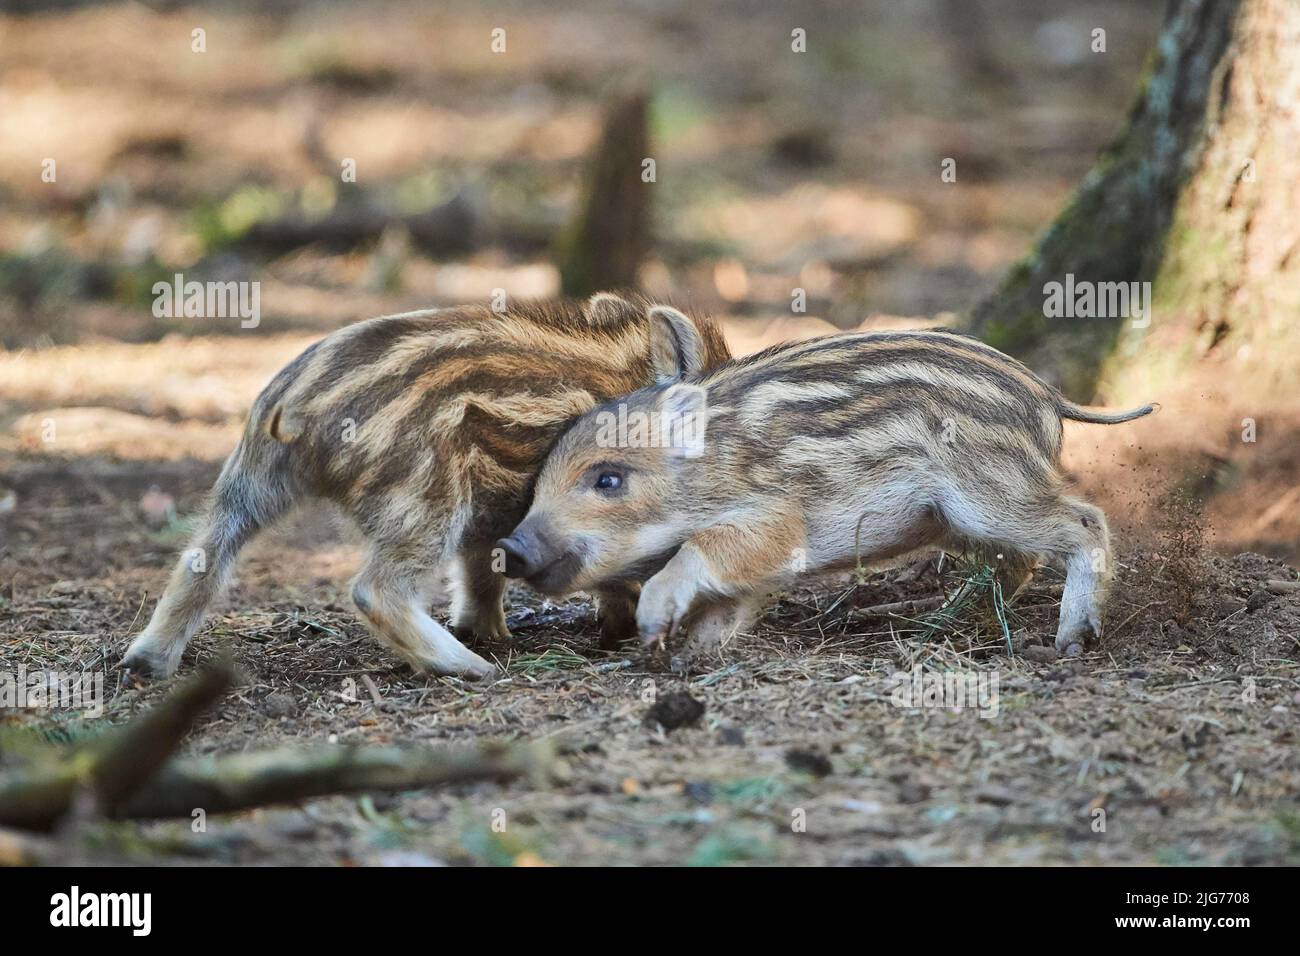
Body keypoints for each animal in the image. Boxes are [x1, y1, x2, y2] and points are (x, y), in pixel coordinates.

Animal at [122, 294, 730, 680]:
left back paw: (147, 664)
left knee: (202, 558)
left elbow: (484, 567)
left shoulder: (497, 511)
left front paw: (490, 631)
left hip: (251, 480)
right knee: (376, 588)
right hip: (423, 491)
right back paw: (470, 668)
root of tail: (294, 406)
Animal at [497, 328, 1156, 665]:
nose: (510, 547)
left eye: (608, 479)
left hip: (992, 494)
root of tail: (1047, 395)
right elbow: (730, 606)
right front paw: (688, 654)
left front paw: (655, 629)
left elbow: (699, 555)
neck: (713, 464)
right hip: (963, 517)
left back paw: (1072, 640)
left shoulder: (774, 522)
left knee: (1083, 522)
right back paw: (949, 621)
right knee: (1017, 560)